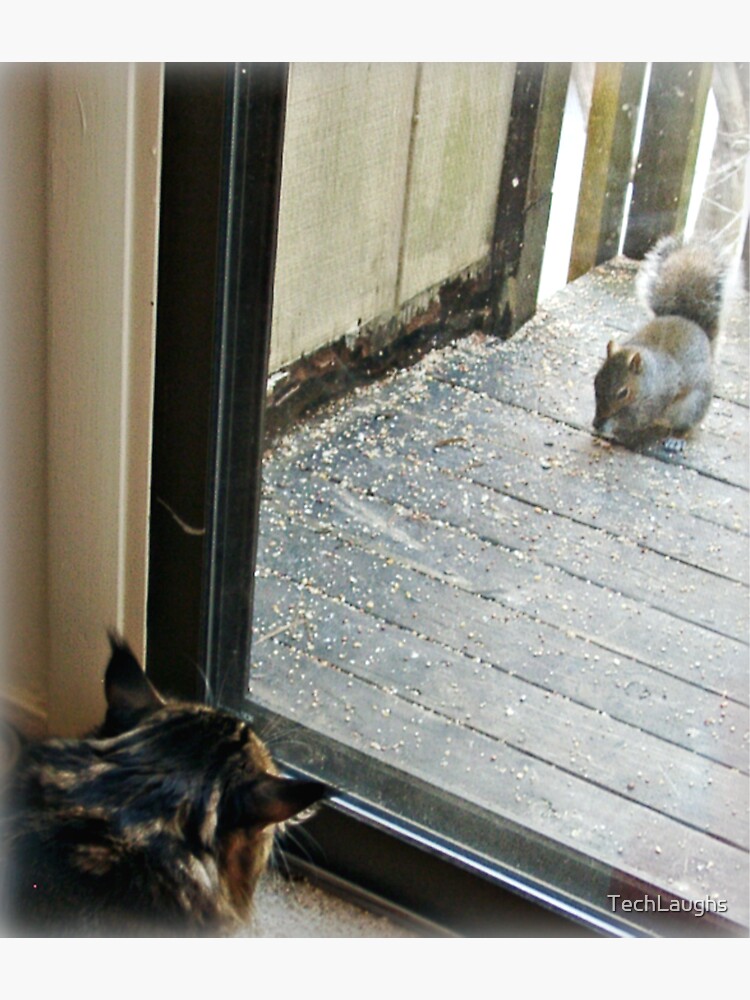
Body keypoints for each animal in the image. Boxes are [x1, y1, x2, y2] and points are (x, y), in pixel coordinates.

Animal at [593, 235, 732, 452]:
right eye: (596, 382)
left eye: (623, 392)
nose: (598, 421)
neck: (648, 380)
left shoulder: (655, 401)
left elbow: (634, 420)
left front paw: (609, 426)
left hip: (691, 407)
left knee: (685, 426)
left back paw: (676, 438)